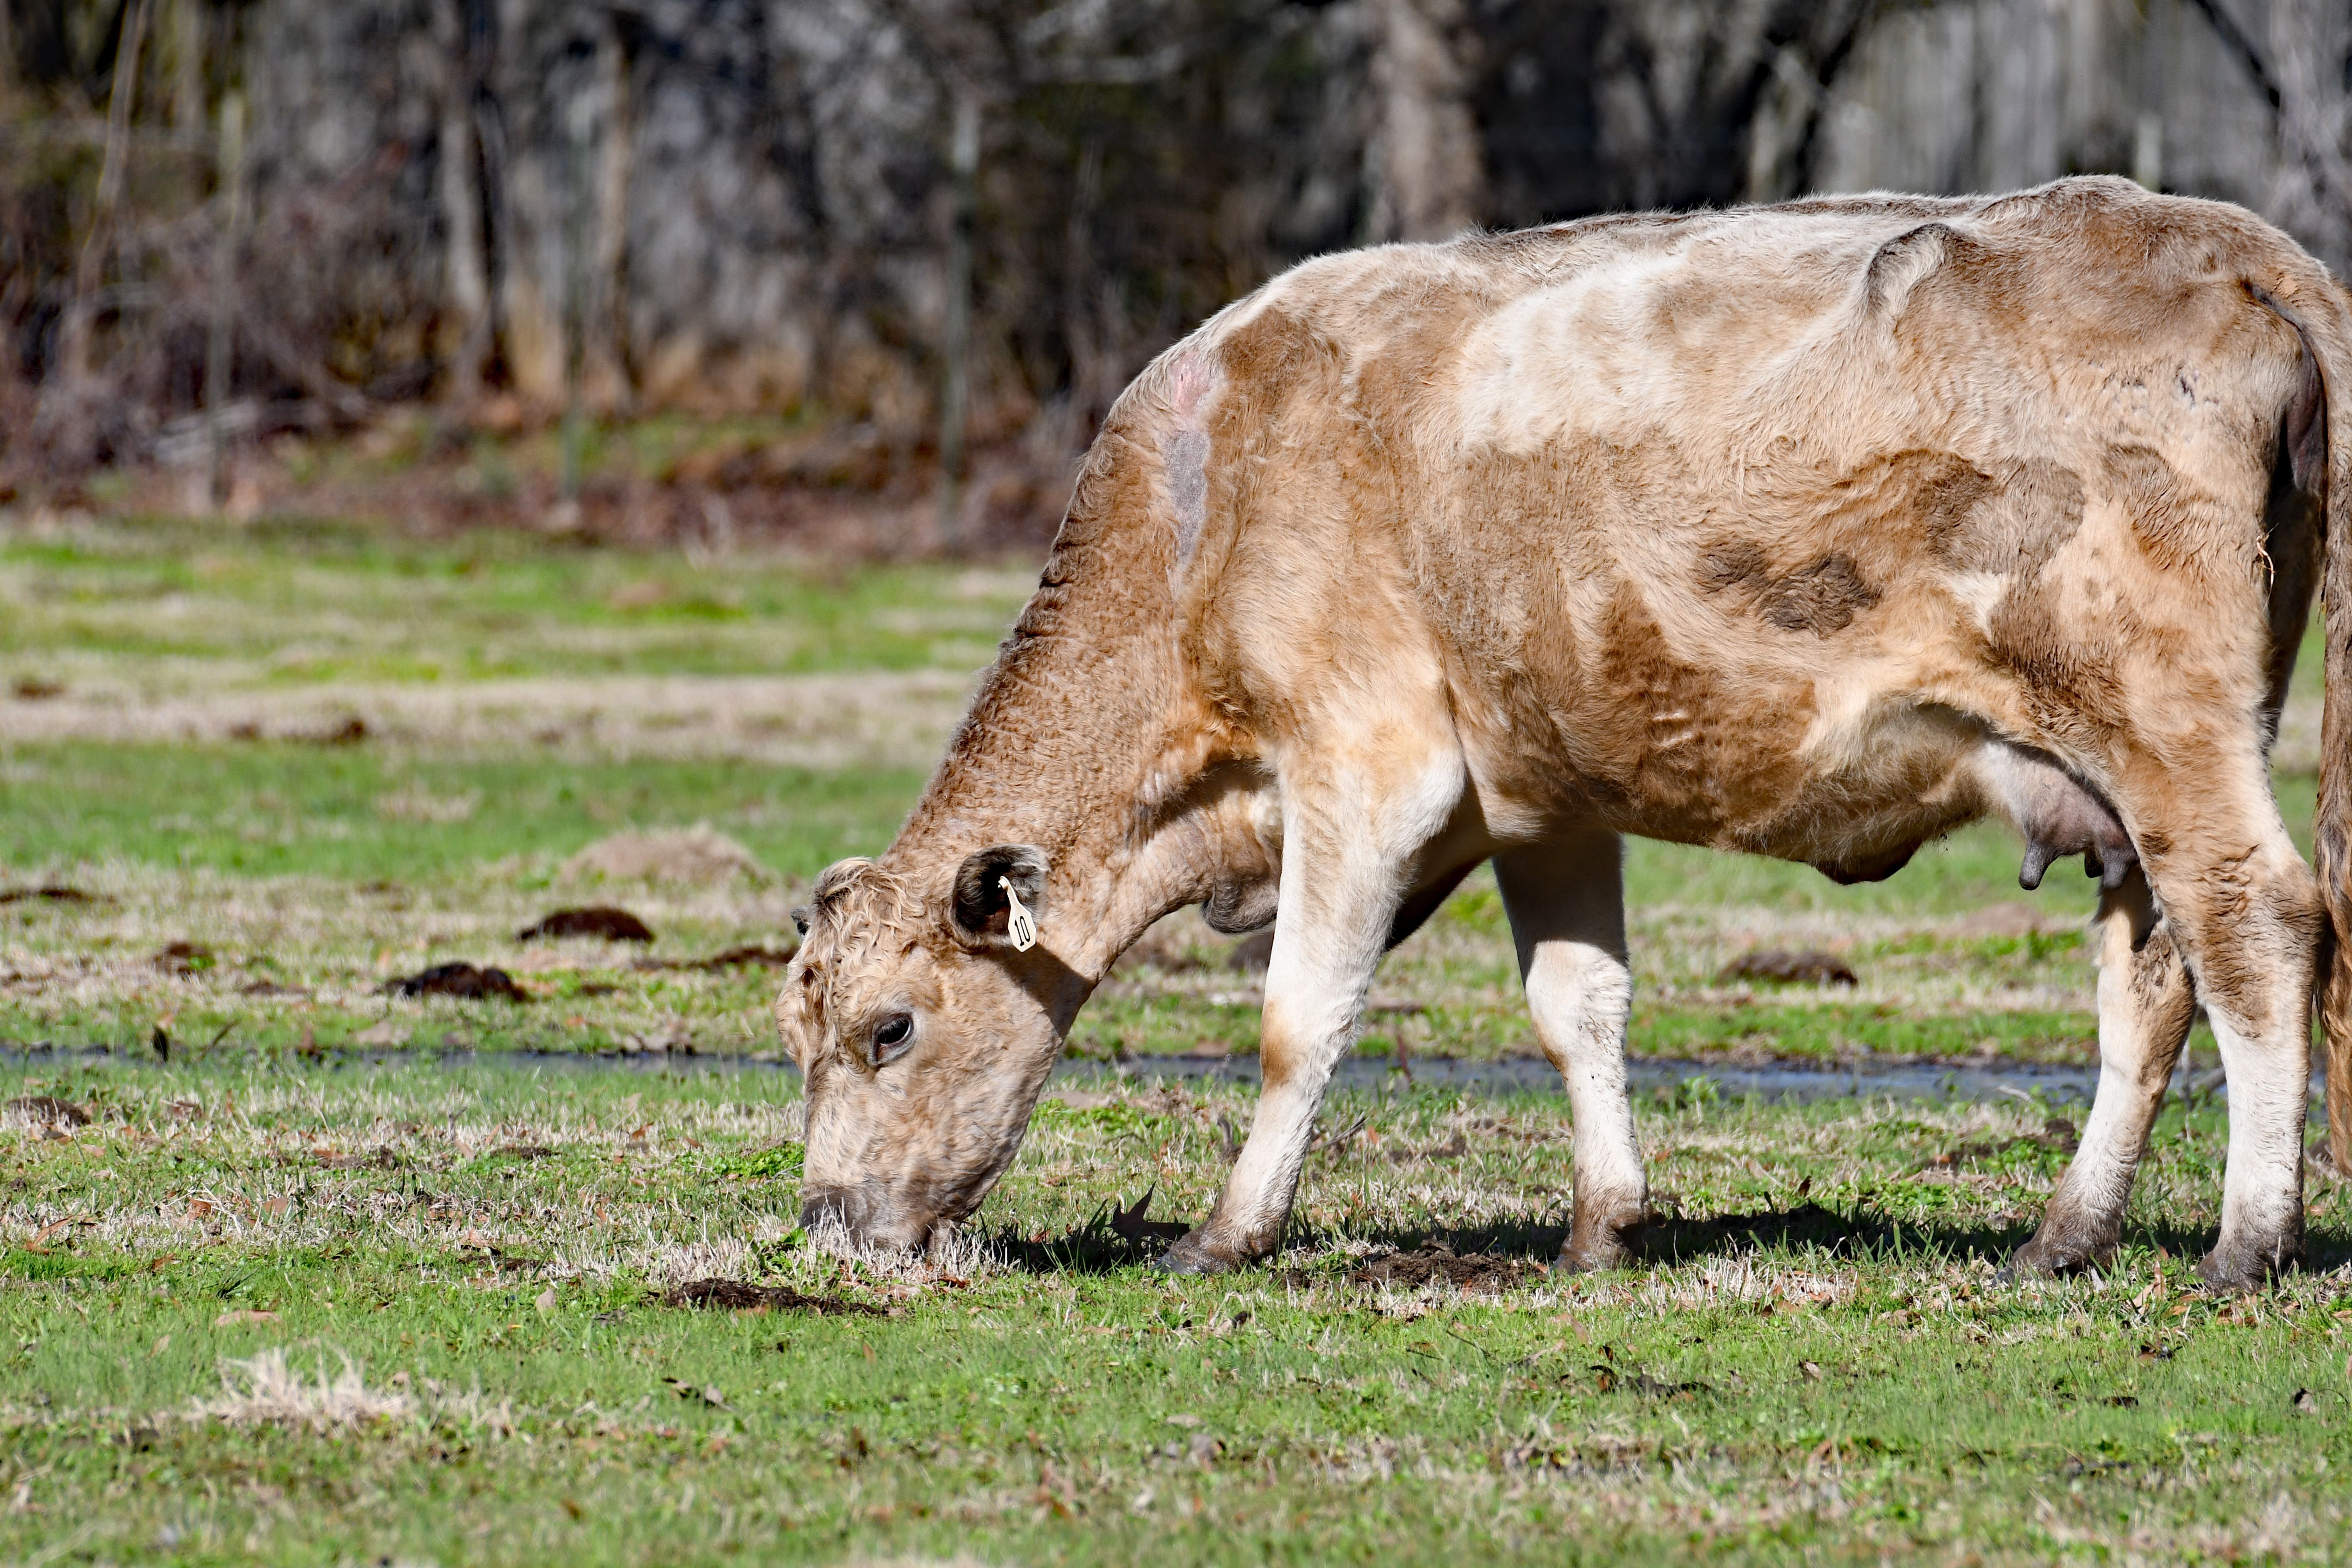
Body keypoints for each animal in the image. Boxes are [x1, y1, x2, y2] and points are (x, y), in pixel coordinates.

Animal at [777, 177, 2352, 1293]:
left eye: (886, 1027)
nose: (829, 1221)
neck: (1202, 504)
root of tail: (2223, 238)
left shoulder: (1364, 765)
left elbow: (1297, 1020)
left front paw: (1224, 1234)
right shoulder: (1540, 797)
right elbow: (1576, 1006)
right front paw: (1602, 1224)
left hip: (2163, 726)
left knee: (2257, 924)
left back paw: (2243, 1241)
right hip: (2117, 779)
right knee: (2150, 975)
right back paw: (2063, 1234)